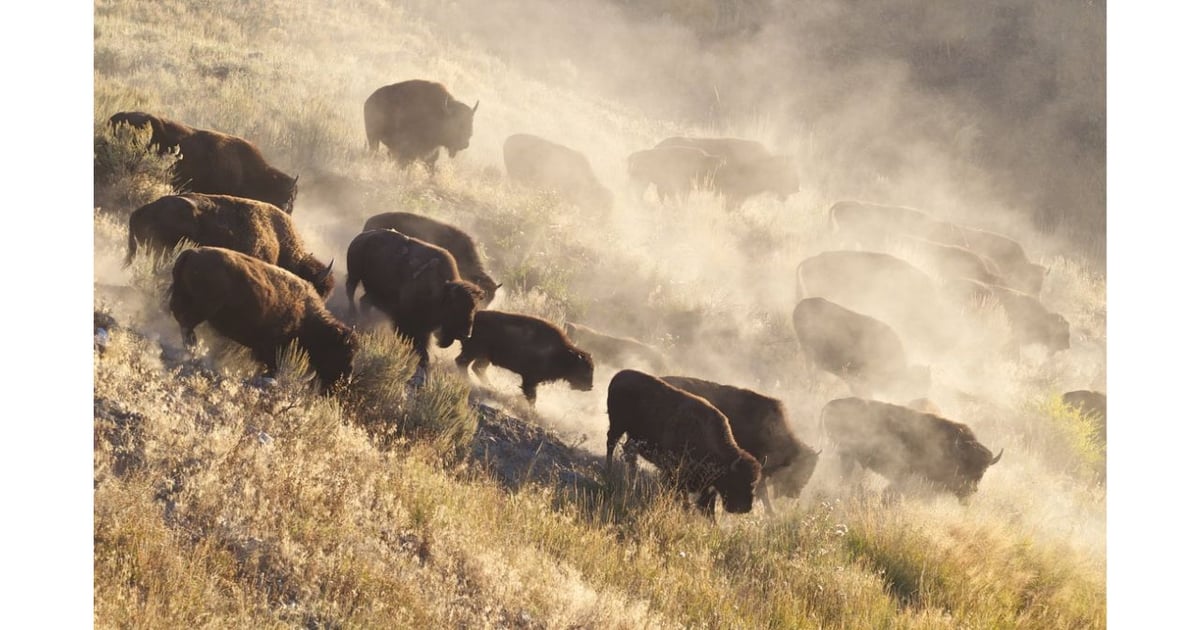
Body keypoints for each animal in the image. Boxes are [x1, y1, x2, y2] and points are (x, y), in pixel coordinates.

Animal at [169, 246, 358, 392]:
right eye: (343, 353)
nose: (346, 380)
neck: (308, 318)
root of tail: (192, 253)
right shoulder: (271, 350)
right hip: (202, 308)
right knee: (186, 324)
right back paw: (192, 351)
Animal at [345, 229, 486, 367]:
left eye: (475, 309)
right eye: (456, 307)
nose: (466, 335)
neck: (441, 291)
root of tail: (362, 236)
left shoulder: (425, 328)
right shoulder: (407, 322)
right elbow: (417, 344)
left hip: (372, 291)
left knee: (364, 301)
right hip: (354, 275)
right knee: (351, 293)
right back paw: (353, 314)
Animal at [456, 311, 594, 405]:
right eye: (585, 369)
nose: (590, 387)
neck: (563, 354)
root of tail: (475, 316)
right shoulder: (530, 379)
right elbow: (532, 396)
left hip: (484, 357)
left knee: (477, 368)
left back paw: (491, 387)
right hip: (473, 351)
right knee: (462, 363)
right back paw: (469, 381)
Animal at [606, 369, 763, 516]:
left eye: (752, 483)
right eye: (738, 480)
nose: (745, 508)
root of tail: (619, 376)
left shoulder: (705, 487)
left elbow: (707, 508)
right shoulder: (677, 476)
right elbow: (684, 500)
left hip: (630, 434)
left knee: (628, 451)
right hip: (617, 426)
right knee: (611, 444)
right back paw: (610, 469)